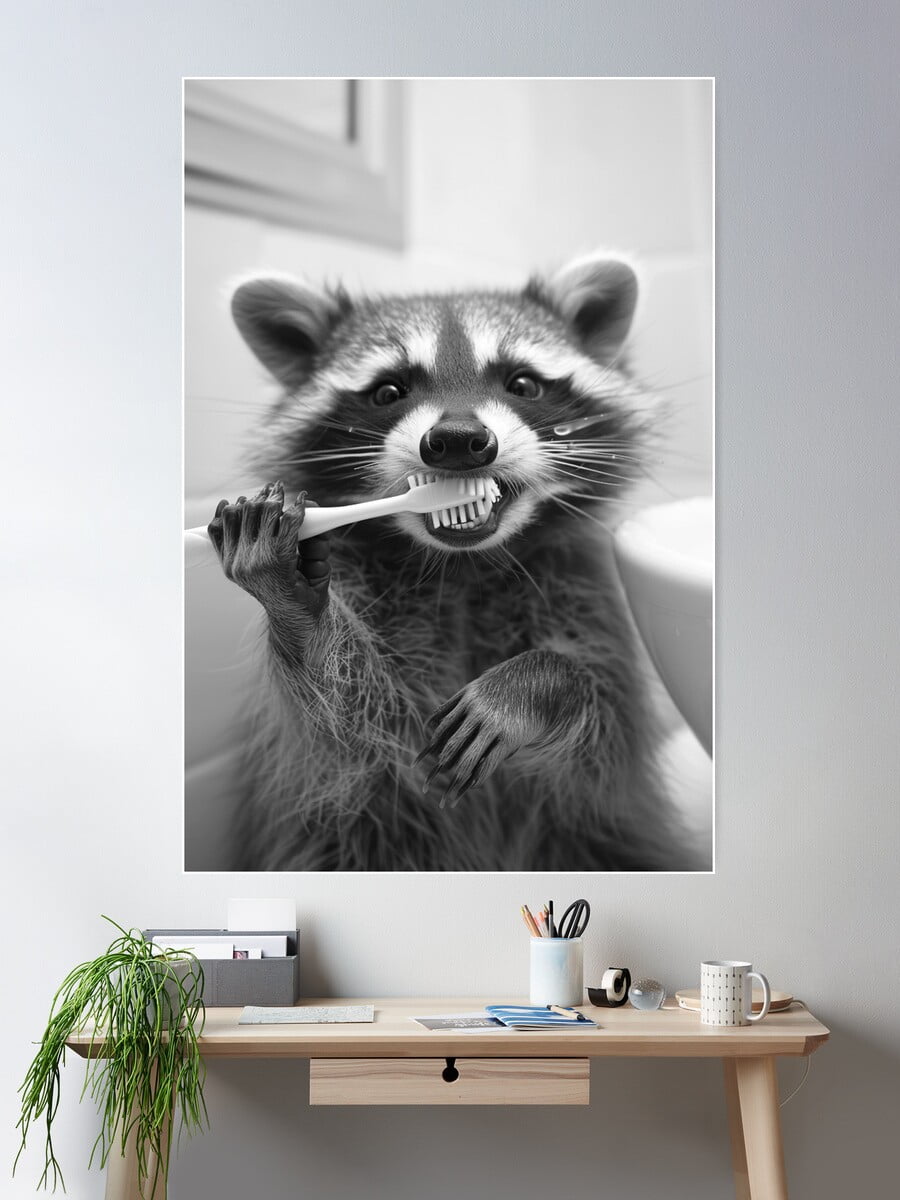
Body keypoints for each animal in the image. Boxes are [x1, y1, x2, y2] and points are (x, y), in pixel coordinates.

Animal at [207, 254, 700, 872]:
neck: (462, 567)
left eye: (522, 383)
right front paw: (299, 609)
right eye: (388, 391)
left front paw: (538, 684)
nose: (461, 439)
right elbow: (348, 728)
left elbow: (602, 741)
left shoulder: (585, 595)